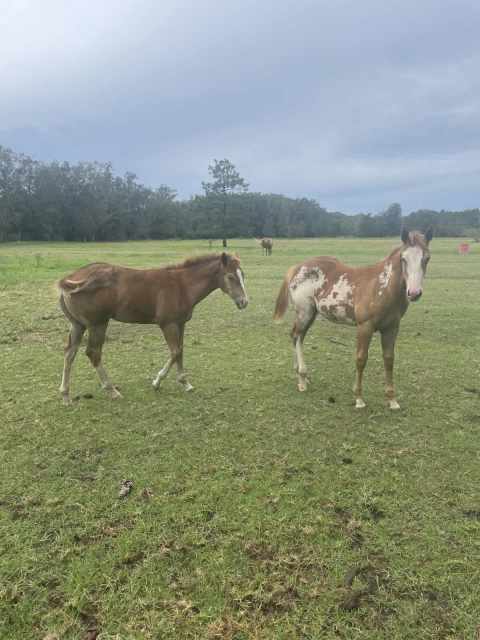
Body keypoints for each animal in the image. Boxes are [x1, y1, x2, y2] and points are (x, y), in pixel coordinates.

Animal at [58, 253, 248, 405]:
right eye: (230, 277)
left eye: (243, 275)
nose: (244, 302)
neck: (182, 285)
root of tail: (72, 278)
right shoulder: (167, 324)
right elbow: (175, 352)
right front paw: (157, 382)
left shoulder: (180, 323)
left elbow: (180, 351)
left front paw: (185, 383)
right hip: (98, 323)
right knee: (93, 353)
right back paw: (112, 391)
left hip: (78, 325)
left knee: (69, 353)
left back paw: (65, 396)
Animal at [273, 229, 433, 409]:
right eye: (403, 258)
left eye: (427, 258)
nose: (414, 293)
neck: (382, 286)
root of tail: (297, 268)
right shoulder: (365, 326)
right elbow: (361, 359)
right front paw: (359, 398)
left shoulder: (391, 328)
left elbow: (389, 359)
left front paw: (392, 400)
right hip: (304, 312)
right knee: (297, 336)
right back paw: (302, 379)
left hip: (311, 314)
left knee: (297, 336)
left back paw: (301, 376)